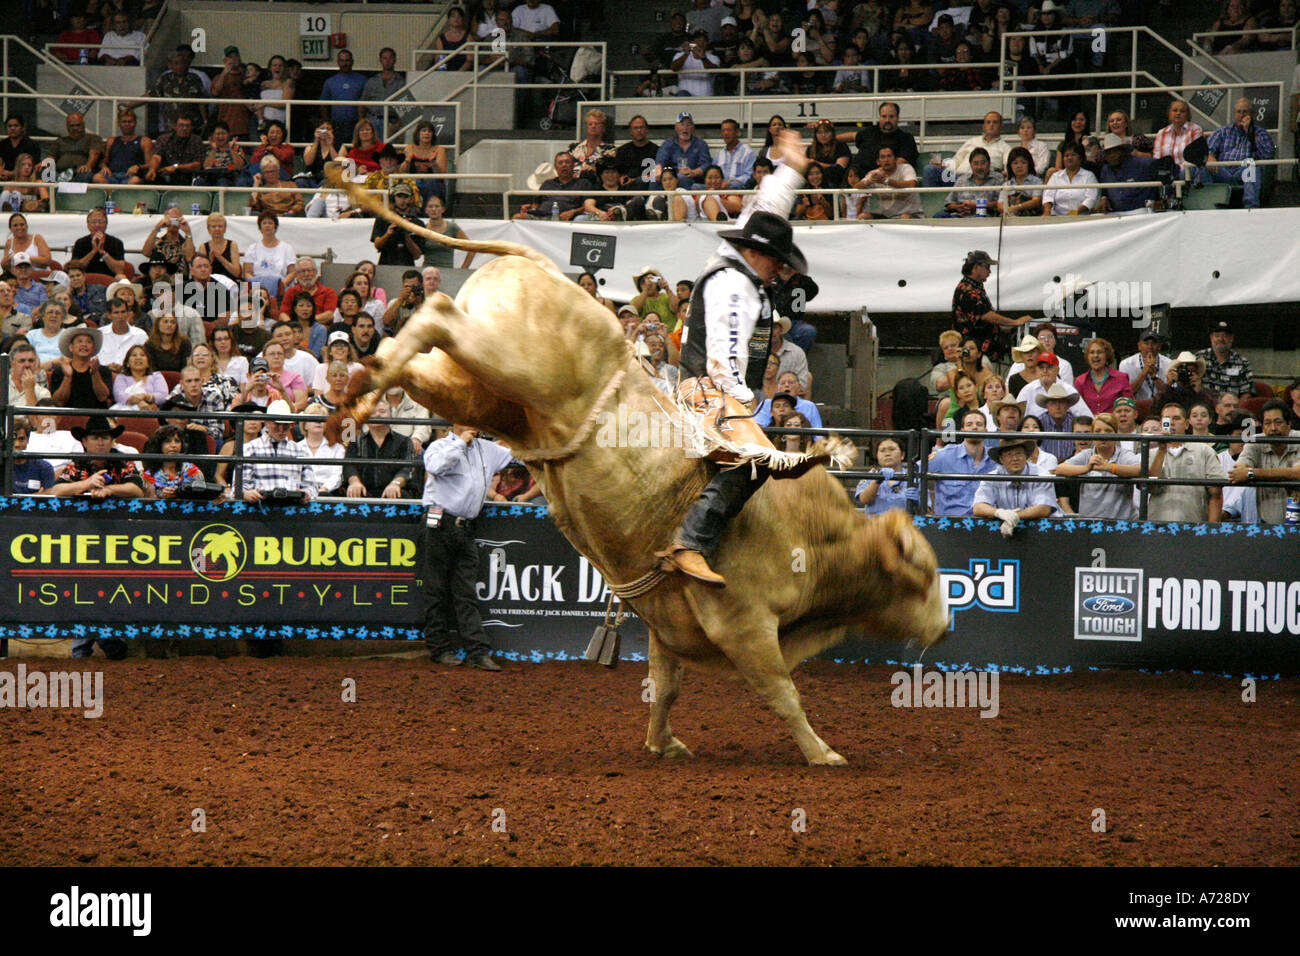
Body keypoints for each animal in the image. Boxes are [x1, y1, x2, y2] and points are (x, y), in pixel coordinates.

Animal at [329, 182, 949, 765]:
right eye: (922, 570)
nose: (944, 628)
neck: (812, 538)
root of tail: (542, 266)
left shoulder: (667, 629)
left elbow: (664, 687)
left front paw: (662, 743)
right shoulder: (745, 626)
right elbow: (782, 693)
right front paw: (822, 752)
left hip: (485, 397)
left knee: (412, 349)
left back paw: (359, 389)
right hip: (515, 365)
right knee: (435, 311)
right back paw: (362, 387)